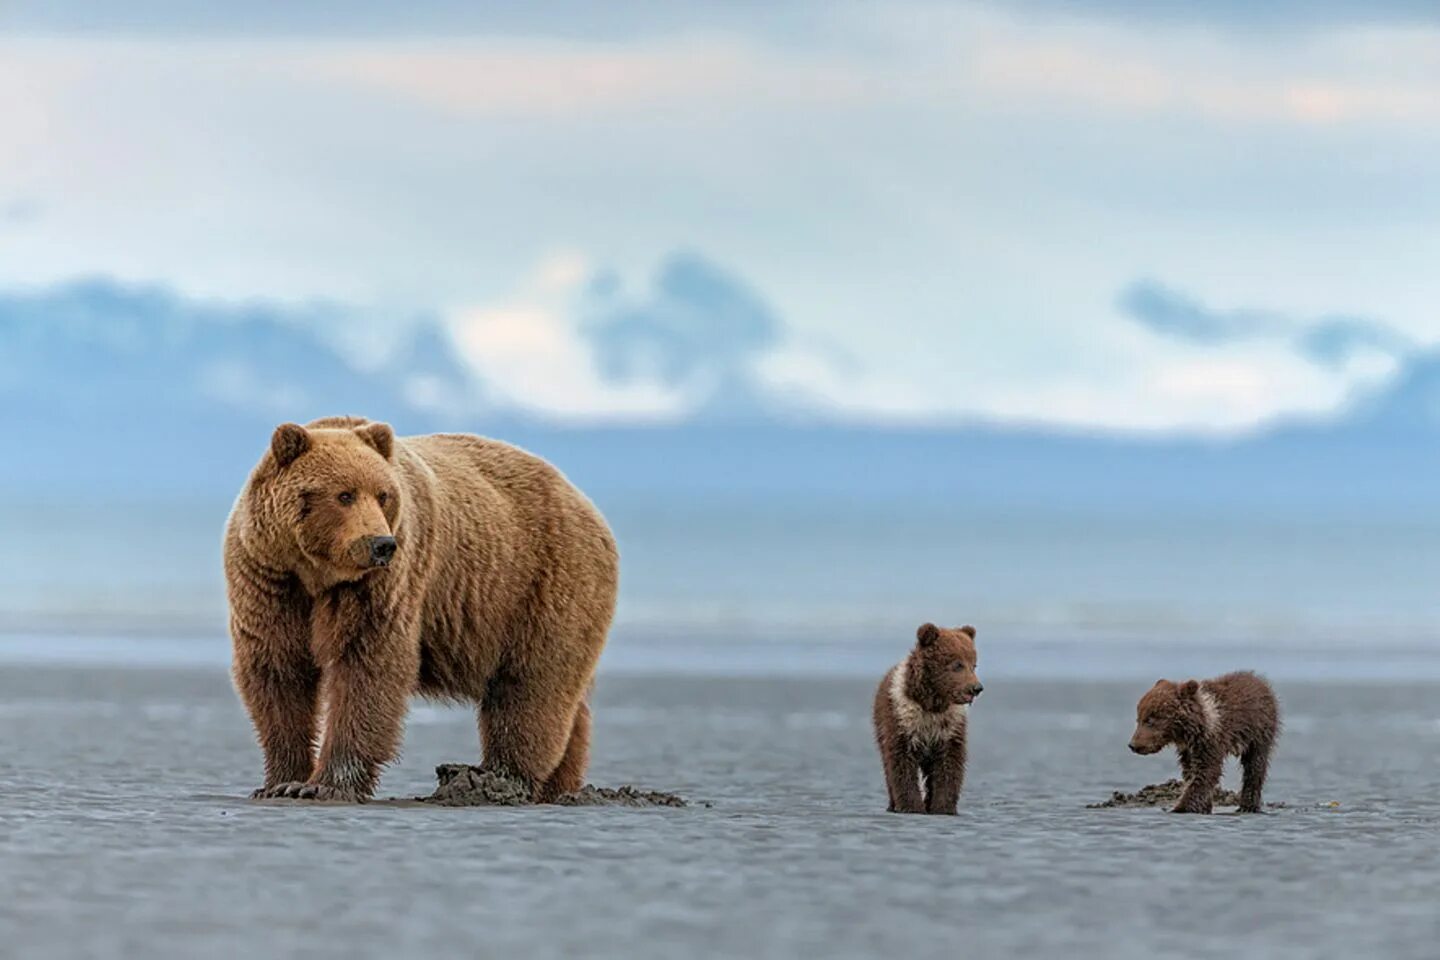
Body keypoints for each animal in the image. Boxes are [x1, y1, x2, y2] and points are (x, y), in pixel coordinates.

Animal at [221, 417, 616, 805]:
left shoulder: (382, 584)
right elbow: (278, 668)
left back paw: (500, 779)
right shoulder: (270, 578)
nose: (381, 544)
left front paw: (324, 784)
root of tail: (588, 505)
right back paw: (559, 786)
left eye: (383, 494)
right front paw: (280, 780)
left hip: (542, 584)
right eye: (344, 494)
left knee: (531, 685)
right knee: (565, 705)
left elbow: (369, 667)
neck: (317, 574)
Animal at [869, 627, 984, 817]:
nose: (976, 688)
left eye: (974, 664)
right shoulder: (903, 720)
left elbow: (948, 766)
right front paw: (912, 806)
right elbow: (901, 764)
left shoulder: (949, 728)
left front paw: (943, 807)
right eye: (957, 664)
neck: (931, 705)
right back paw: (893, 805)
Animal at [1128, 673, 1278, 817]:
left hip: (1258, 733)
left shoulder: (1210, 742)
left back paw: (1248, 806)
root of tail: (1260, 681)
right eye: (1138, 719)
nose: (1133, 745)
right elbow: (1191, 772)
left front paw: (1180, 808)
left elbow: (1206, 772)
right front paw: (1204, 806)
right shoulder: (1188, 750)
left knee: (1254, 766)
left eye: (1150, 720)